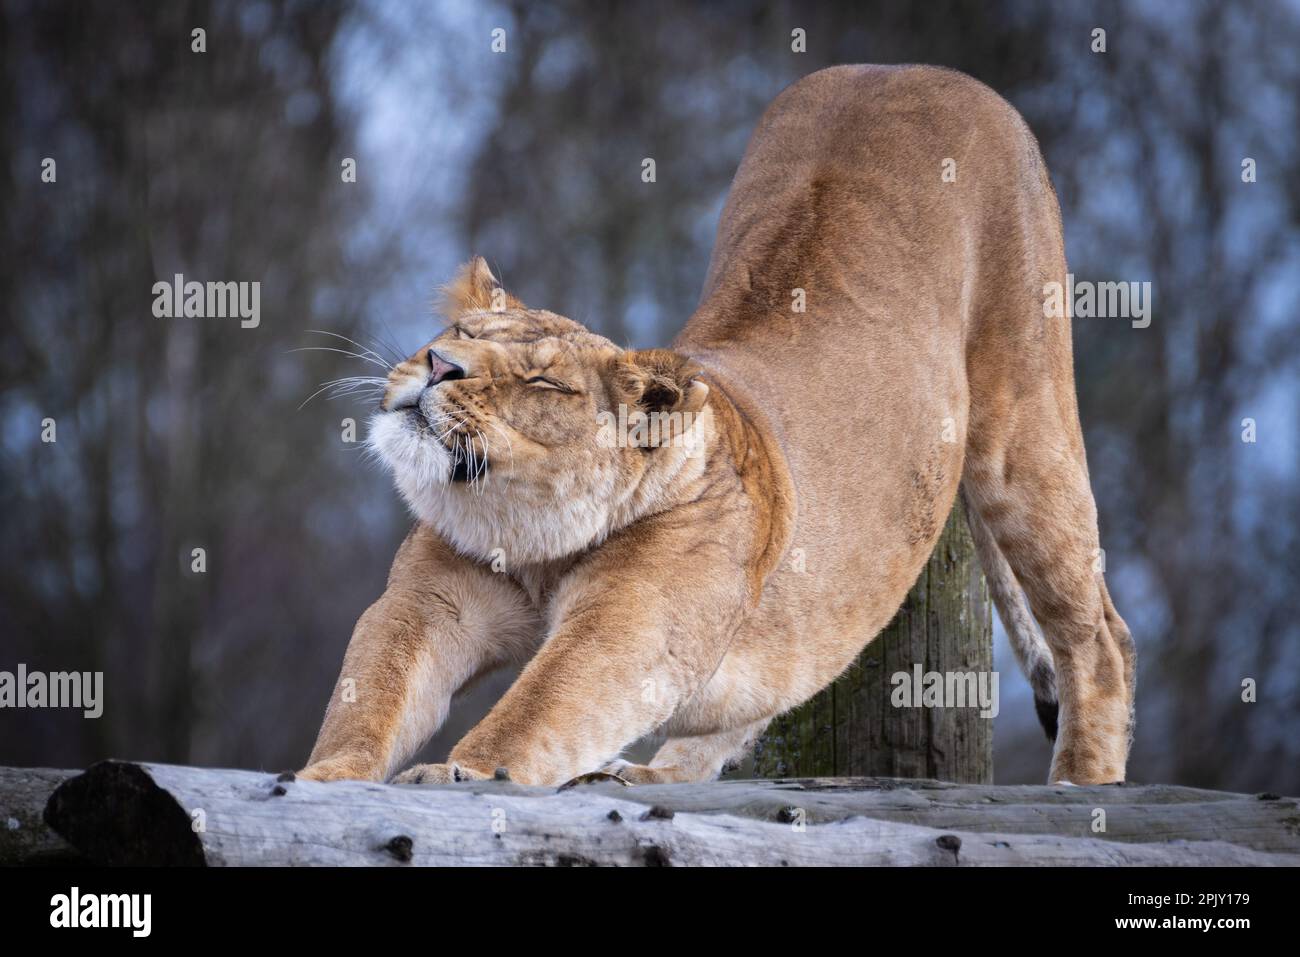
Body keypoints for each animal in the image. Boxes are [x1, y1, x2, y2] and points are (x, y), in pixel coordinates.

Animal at [300, 64, 1135, 788]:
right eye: (458, 331)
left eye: (542, 381)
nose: (438, 363)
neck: (529, 538)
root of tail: (912, 67)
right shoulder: (427, 604)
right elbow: (371, 695)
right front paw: (327, 776)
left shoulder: (626, 628)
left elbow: (538, 705)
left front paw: (461, 772)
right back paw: (643, 772)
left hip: (1023, 440)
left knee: (1101, 638)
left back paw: (1080, 782)